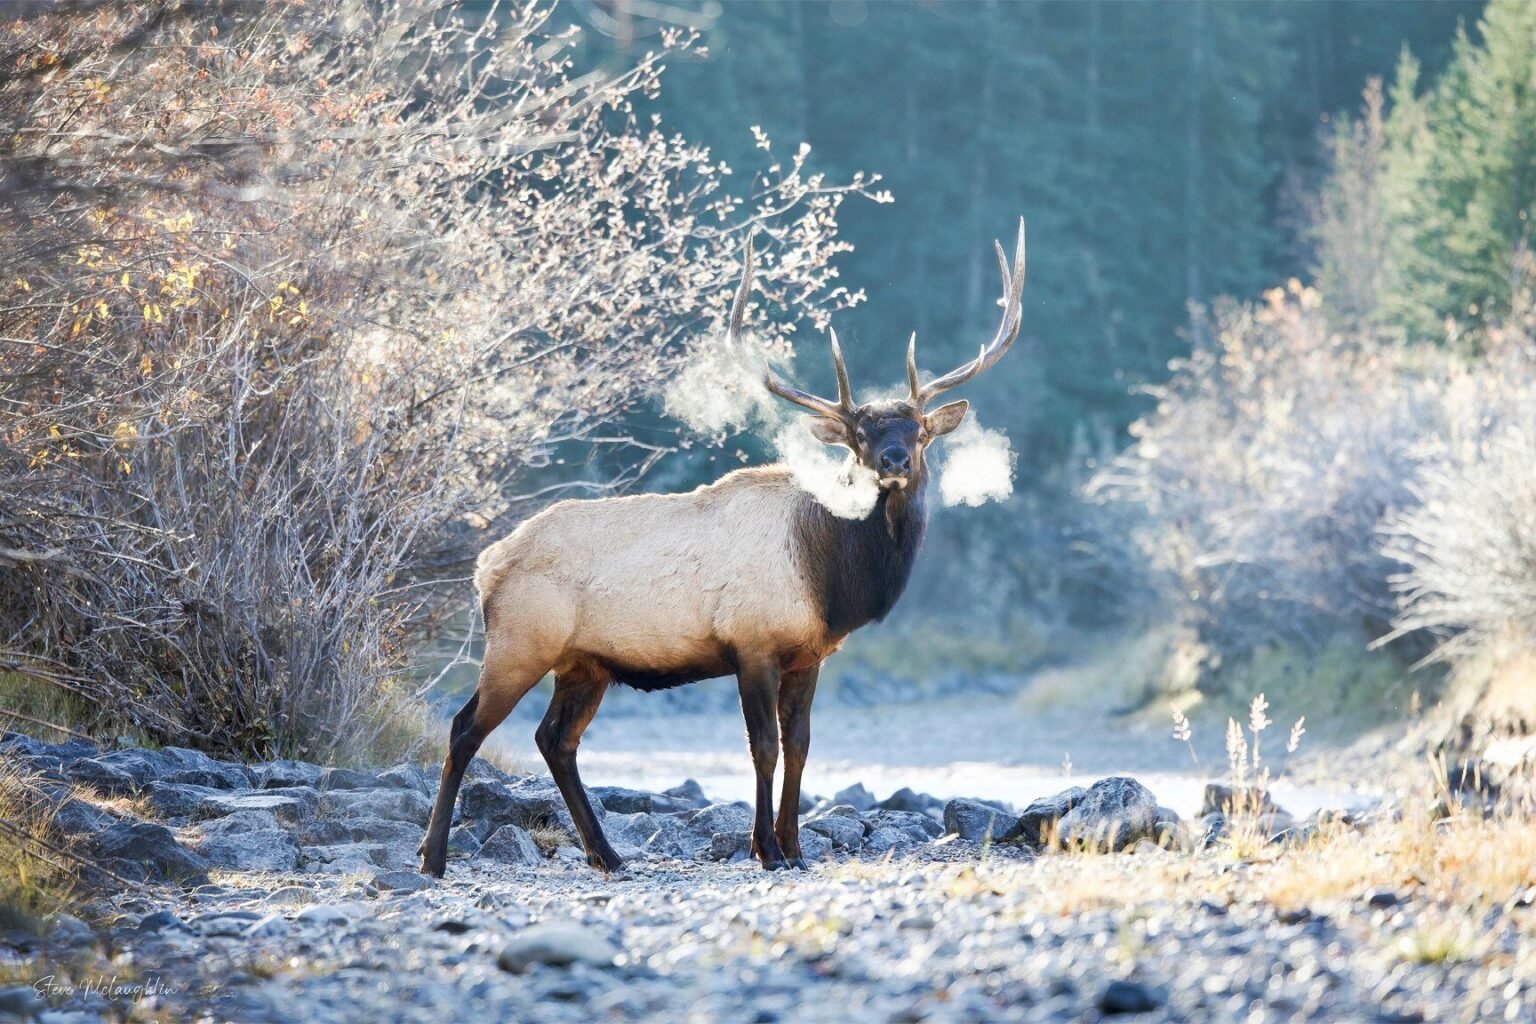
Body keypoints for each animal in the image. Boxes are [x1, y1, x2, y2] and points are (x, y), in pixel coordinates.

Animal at [419, 220, 1026, 877]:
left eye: (918, 432)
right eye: (860, 435)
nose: (893, 462)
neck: (831, 579)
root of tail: (486, 568)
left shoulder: (809, 655)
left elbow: (801, 746)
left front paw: (795, 847)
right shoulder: (752, 642)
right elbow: (763, 748)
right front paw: (767, 850)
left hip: (583, 663)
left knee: (555, 739)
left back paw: (607, 853)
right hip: (519, 643)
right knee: (464, 729)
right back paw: (433, 857)